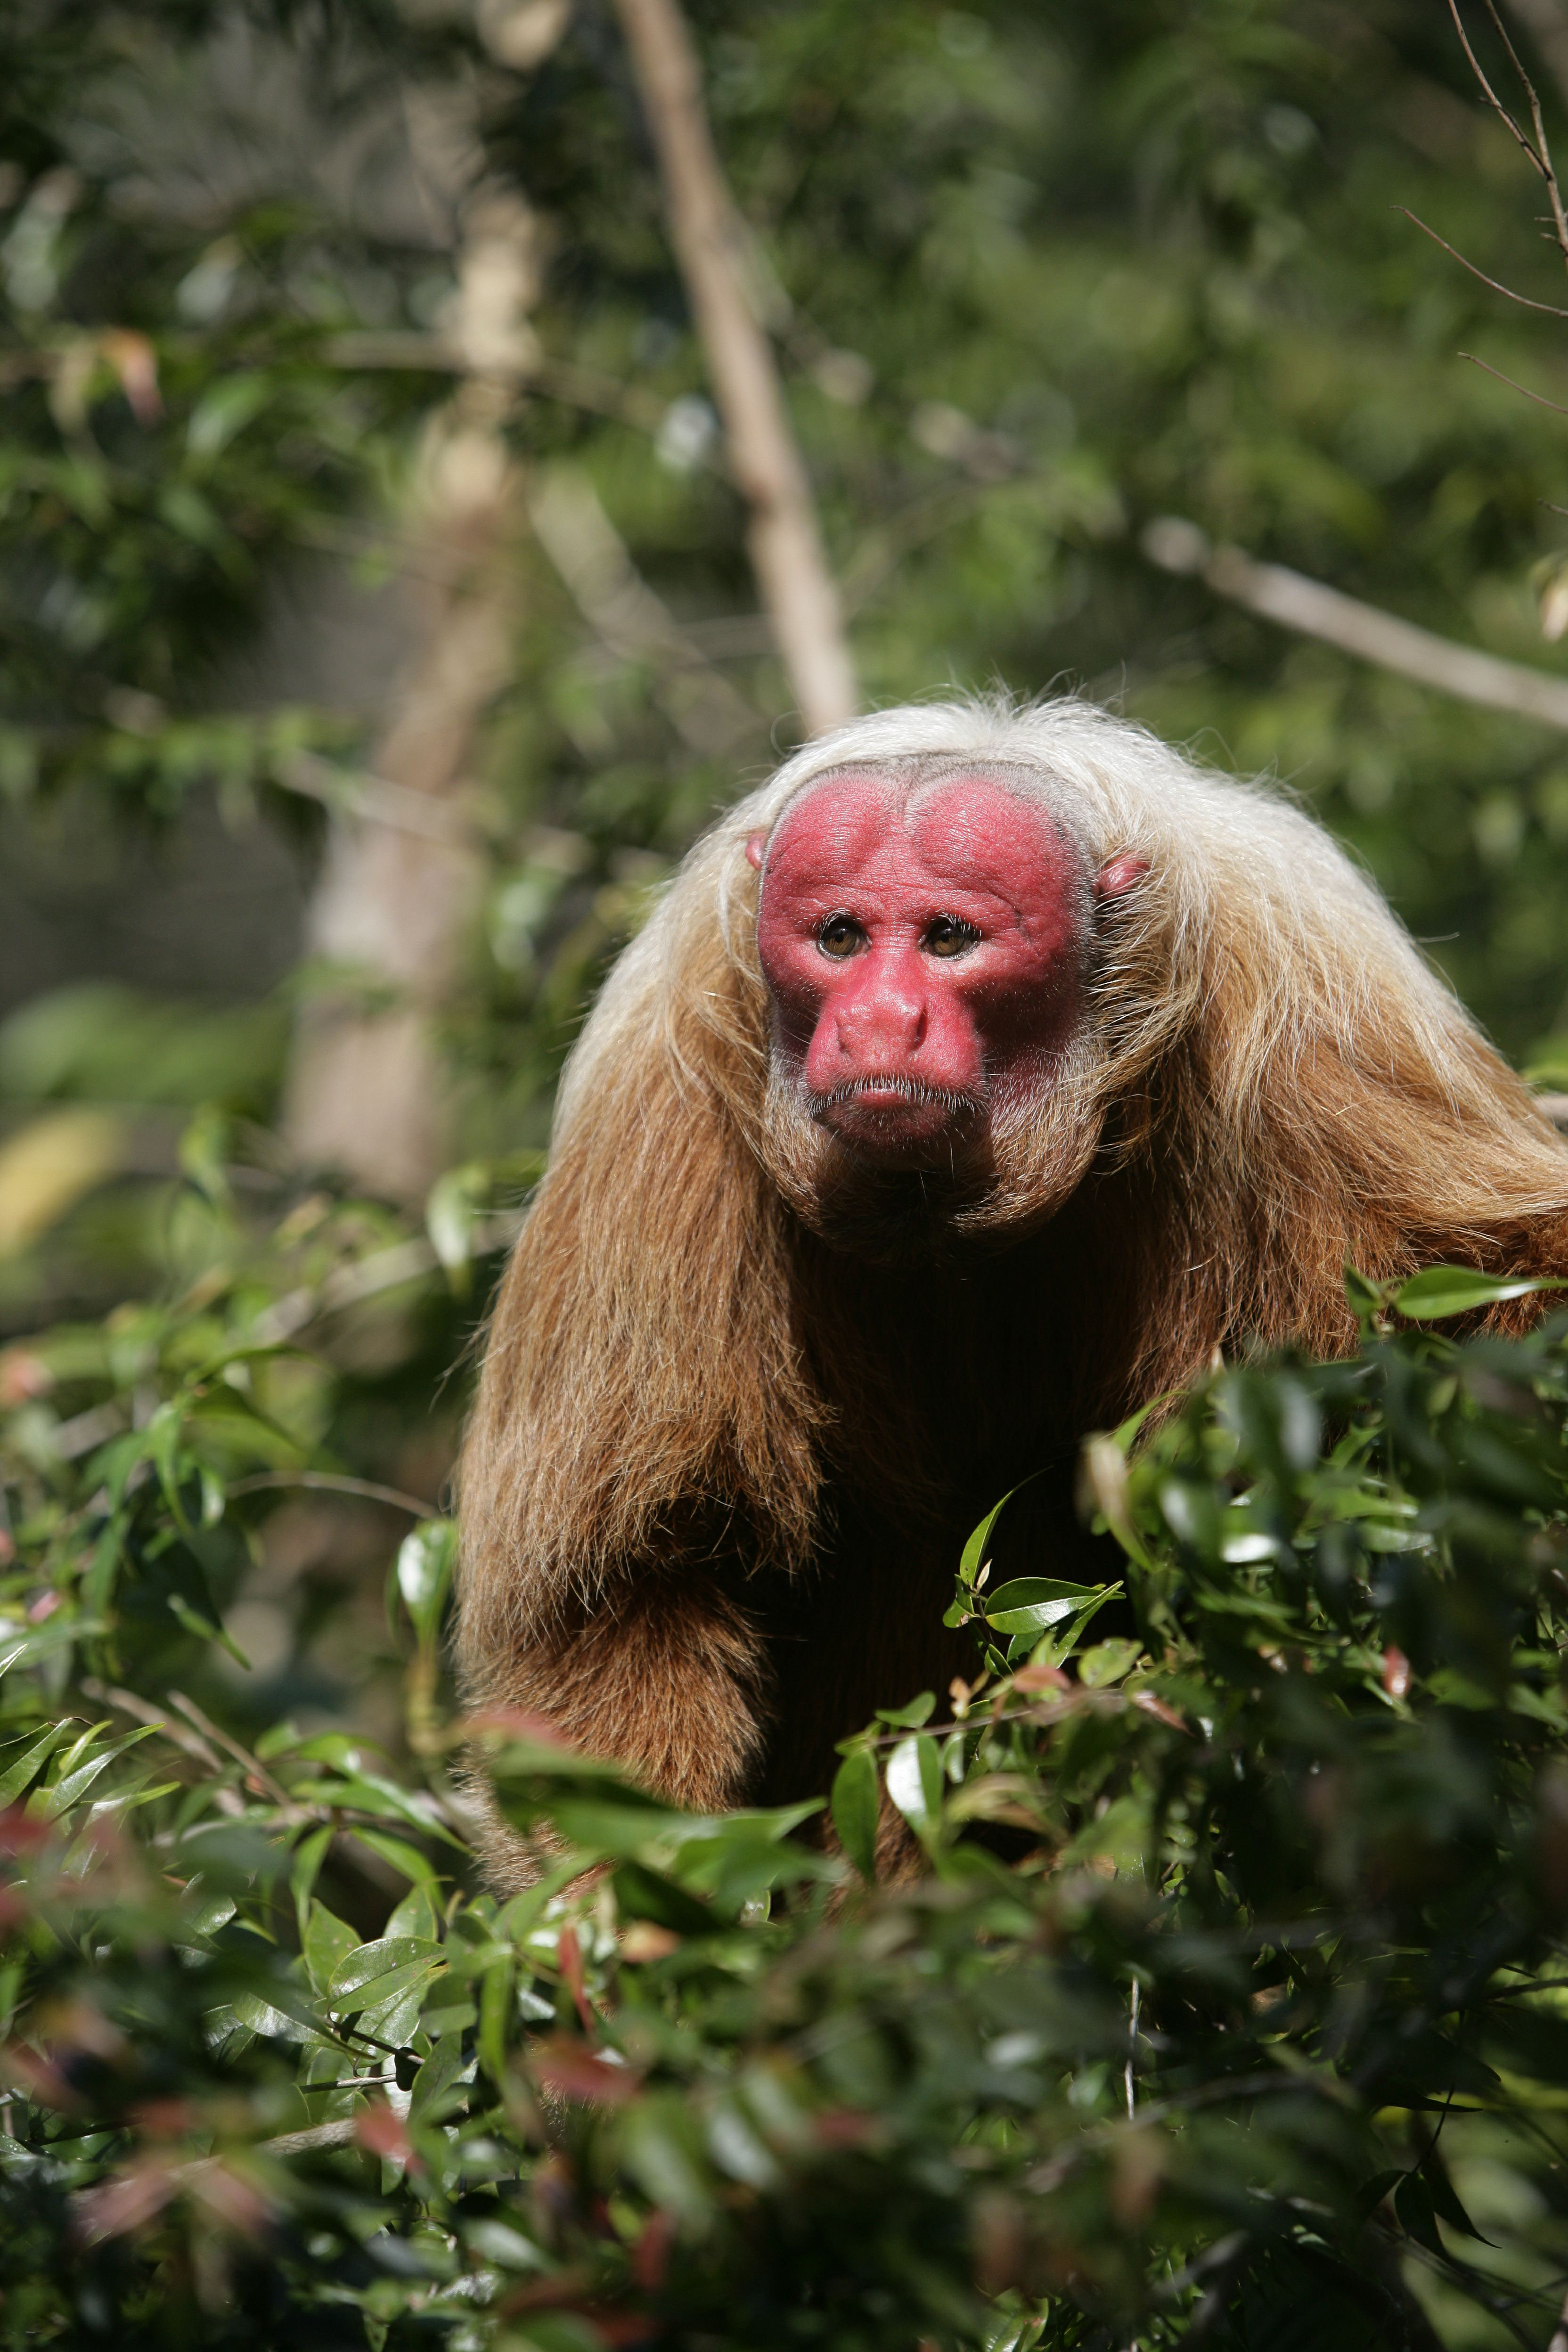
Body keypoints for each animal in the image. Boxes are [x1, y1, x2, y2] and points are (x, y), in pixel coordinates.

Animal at [457, 695, 1568, 1876]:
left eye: (948, 939)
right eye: (839, 938)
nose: (878, 1021)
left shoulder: (1316, 1016)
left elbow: (1507, 1284)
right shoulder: (659, 1089)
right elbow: (622, 1592)